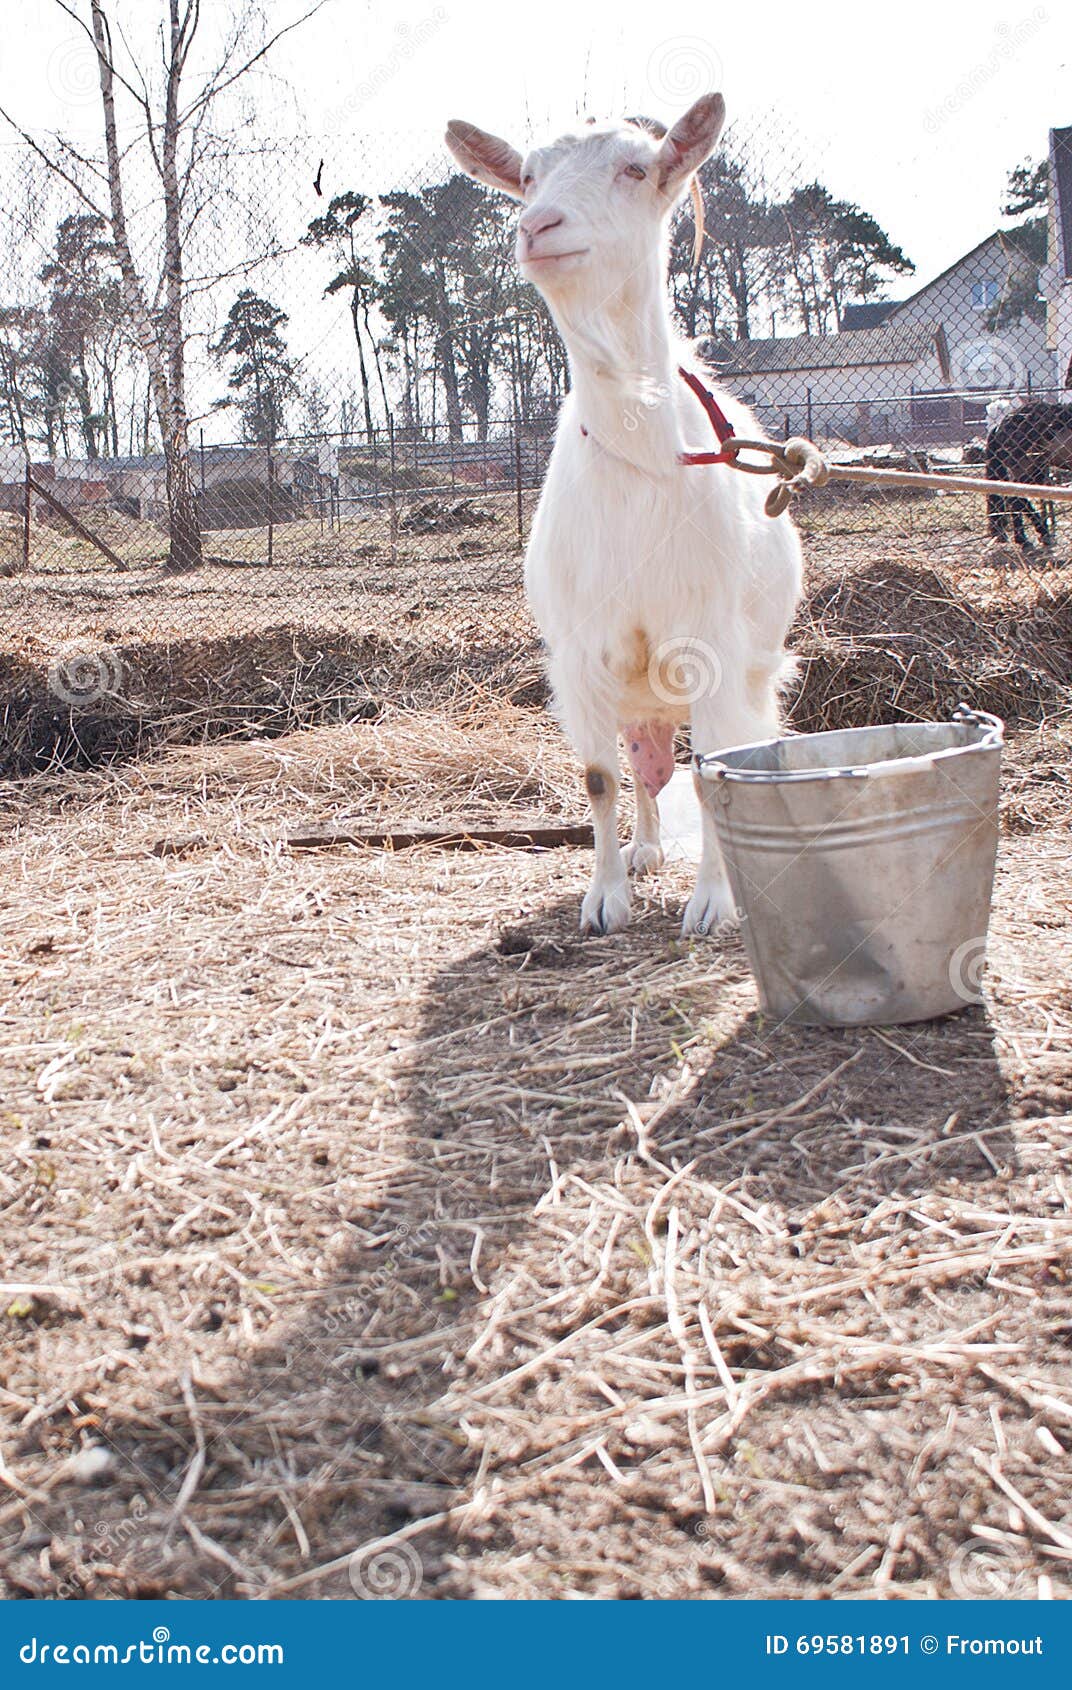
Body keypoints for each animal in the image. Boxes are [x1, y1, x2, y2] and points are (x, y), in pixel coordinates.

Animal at [445, 95, 802, 936]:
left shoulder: (712, 644)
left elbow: (713, 775)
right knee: (645, 766)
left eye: (636, 168)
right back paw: (643, 850)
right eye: (528, 176)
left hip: (755, 668)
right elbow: (599, 778)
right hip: (639, 693)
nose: (538, 226)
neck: (642, 459)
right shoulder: (580, 655)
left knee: (740, 747)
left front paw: (711, 905)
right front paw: (606, 897)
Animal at [986, 400, 1072, 551]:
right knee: (1016, 498)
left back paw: (1024, 538)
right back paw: (1039, 535)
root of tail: (1000, 427)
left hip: (1037, 468)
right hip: (1025, 466)